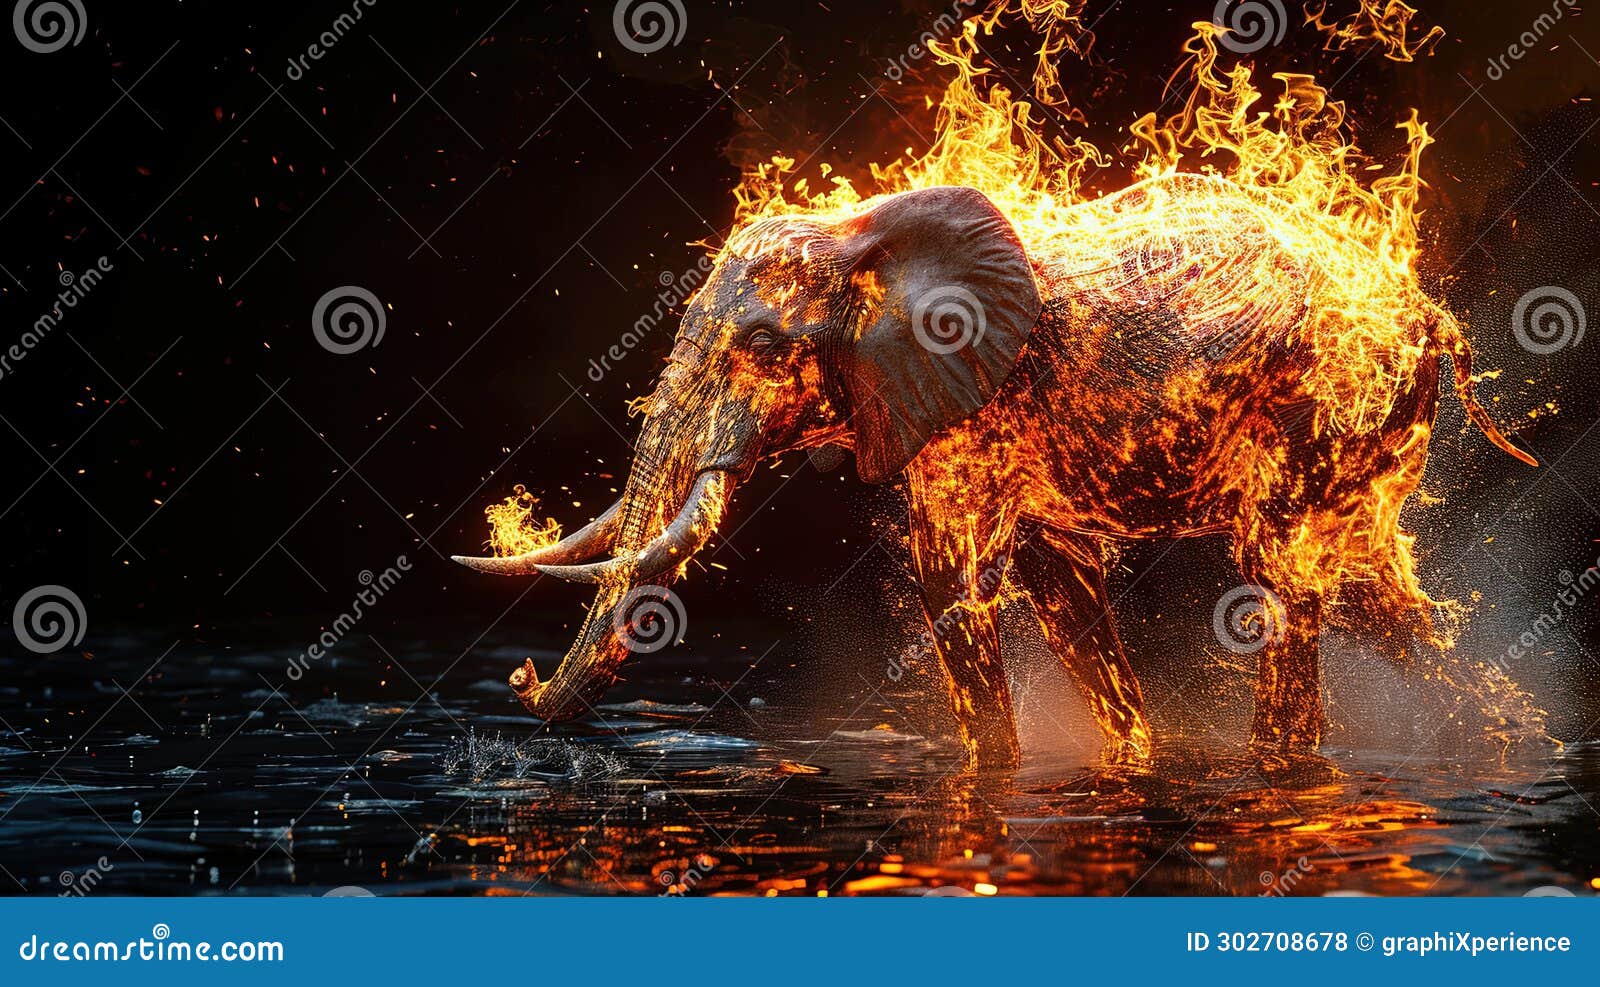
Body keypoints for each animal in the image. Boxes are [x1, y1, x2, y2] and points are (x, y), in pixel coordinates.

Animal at [454, 173, 1534, 770]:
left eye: (762, 347)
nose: (515, 675)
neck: (865, 231)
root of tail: (1427, 314)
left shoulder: (977, 408)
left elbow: (955, 584)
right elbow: (1059, 587)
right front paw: (1129, 760)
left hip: (1335, 401)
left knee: (1287, 579)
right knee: (1377, 599)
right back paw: (1502, 740)